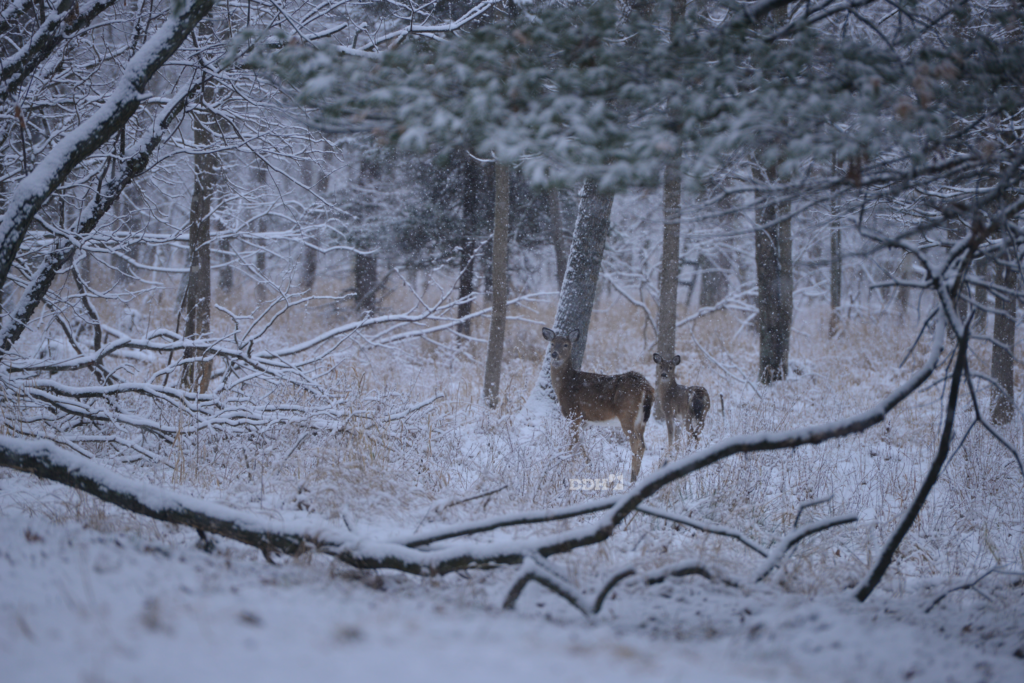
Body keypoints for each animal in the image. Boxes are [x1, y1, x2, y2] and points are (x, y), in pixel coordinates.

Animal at [542, 327, 655, 483]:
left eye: (565, 344)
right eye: (552, 343)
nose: (554, 354)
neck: (565, 384)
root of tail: (646, 387)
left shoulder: (573, 413)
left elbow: (573, 442)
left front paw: (564, 463)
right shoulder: (585, 420)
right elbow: (579, 442)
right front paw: (588, 464)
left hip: (627, 414)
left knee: (636, 443)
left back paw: (632, 478)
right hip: (641, 421)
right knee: (643, 444)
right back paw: (635, 477)